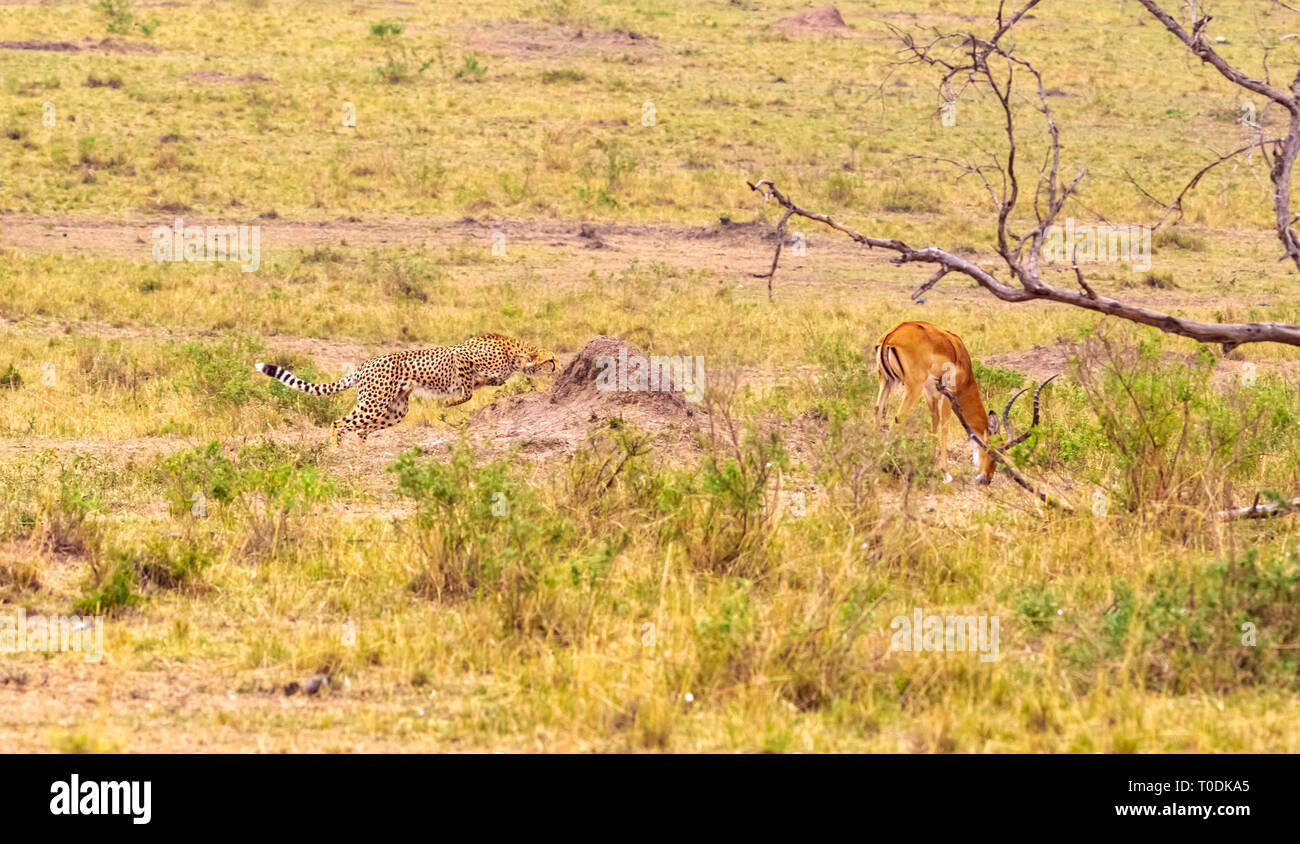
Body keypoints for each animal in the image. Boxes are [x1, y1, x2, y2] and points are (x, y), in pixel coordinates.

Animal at [253, 334, 557, 445]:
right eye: (551, 360)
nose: (558, 368)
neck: (516, 353)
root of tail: (364, 363)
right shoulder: (461, 356)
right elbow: (467, 390)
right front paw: (448, 404)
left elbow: (488, 384)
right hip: (374, 403)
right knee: (340, 423)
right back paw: (336, 449)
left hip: (395, 409)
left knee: (361, 429)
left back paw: (361, 454)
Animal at [873, 320, 1054, 485]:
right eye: (994, 453)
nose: (986, 479)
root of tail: (891, 336)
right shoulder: (948, 392)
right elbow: (944, 427)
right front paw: (945, 474)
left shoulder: (930, 392)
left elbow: (934, 423)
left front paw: (930, 463)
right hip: (913, 387)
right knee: (899, 418)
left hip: (886, 381)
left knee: (877, 410)